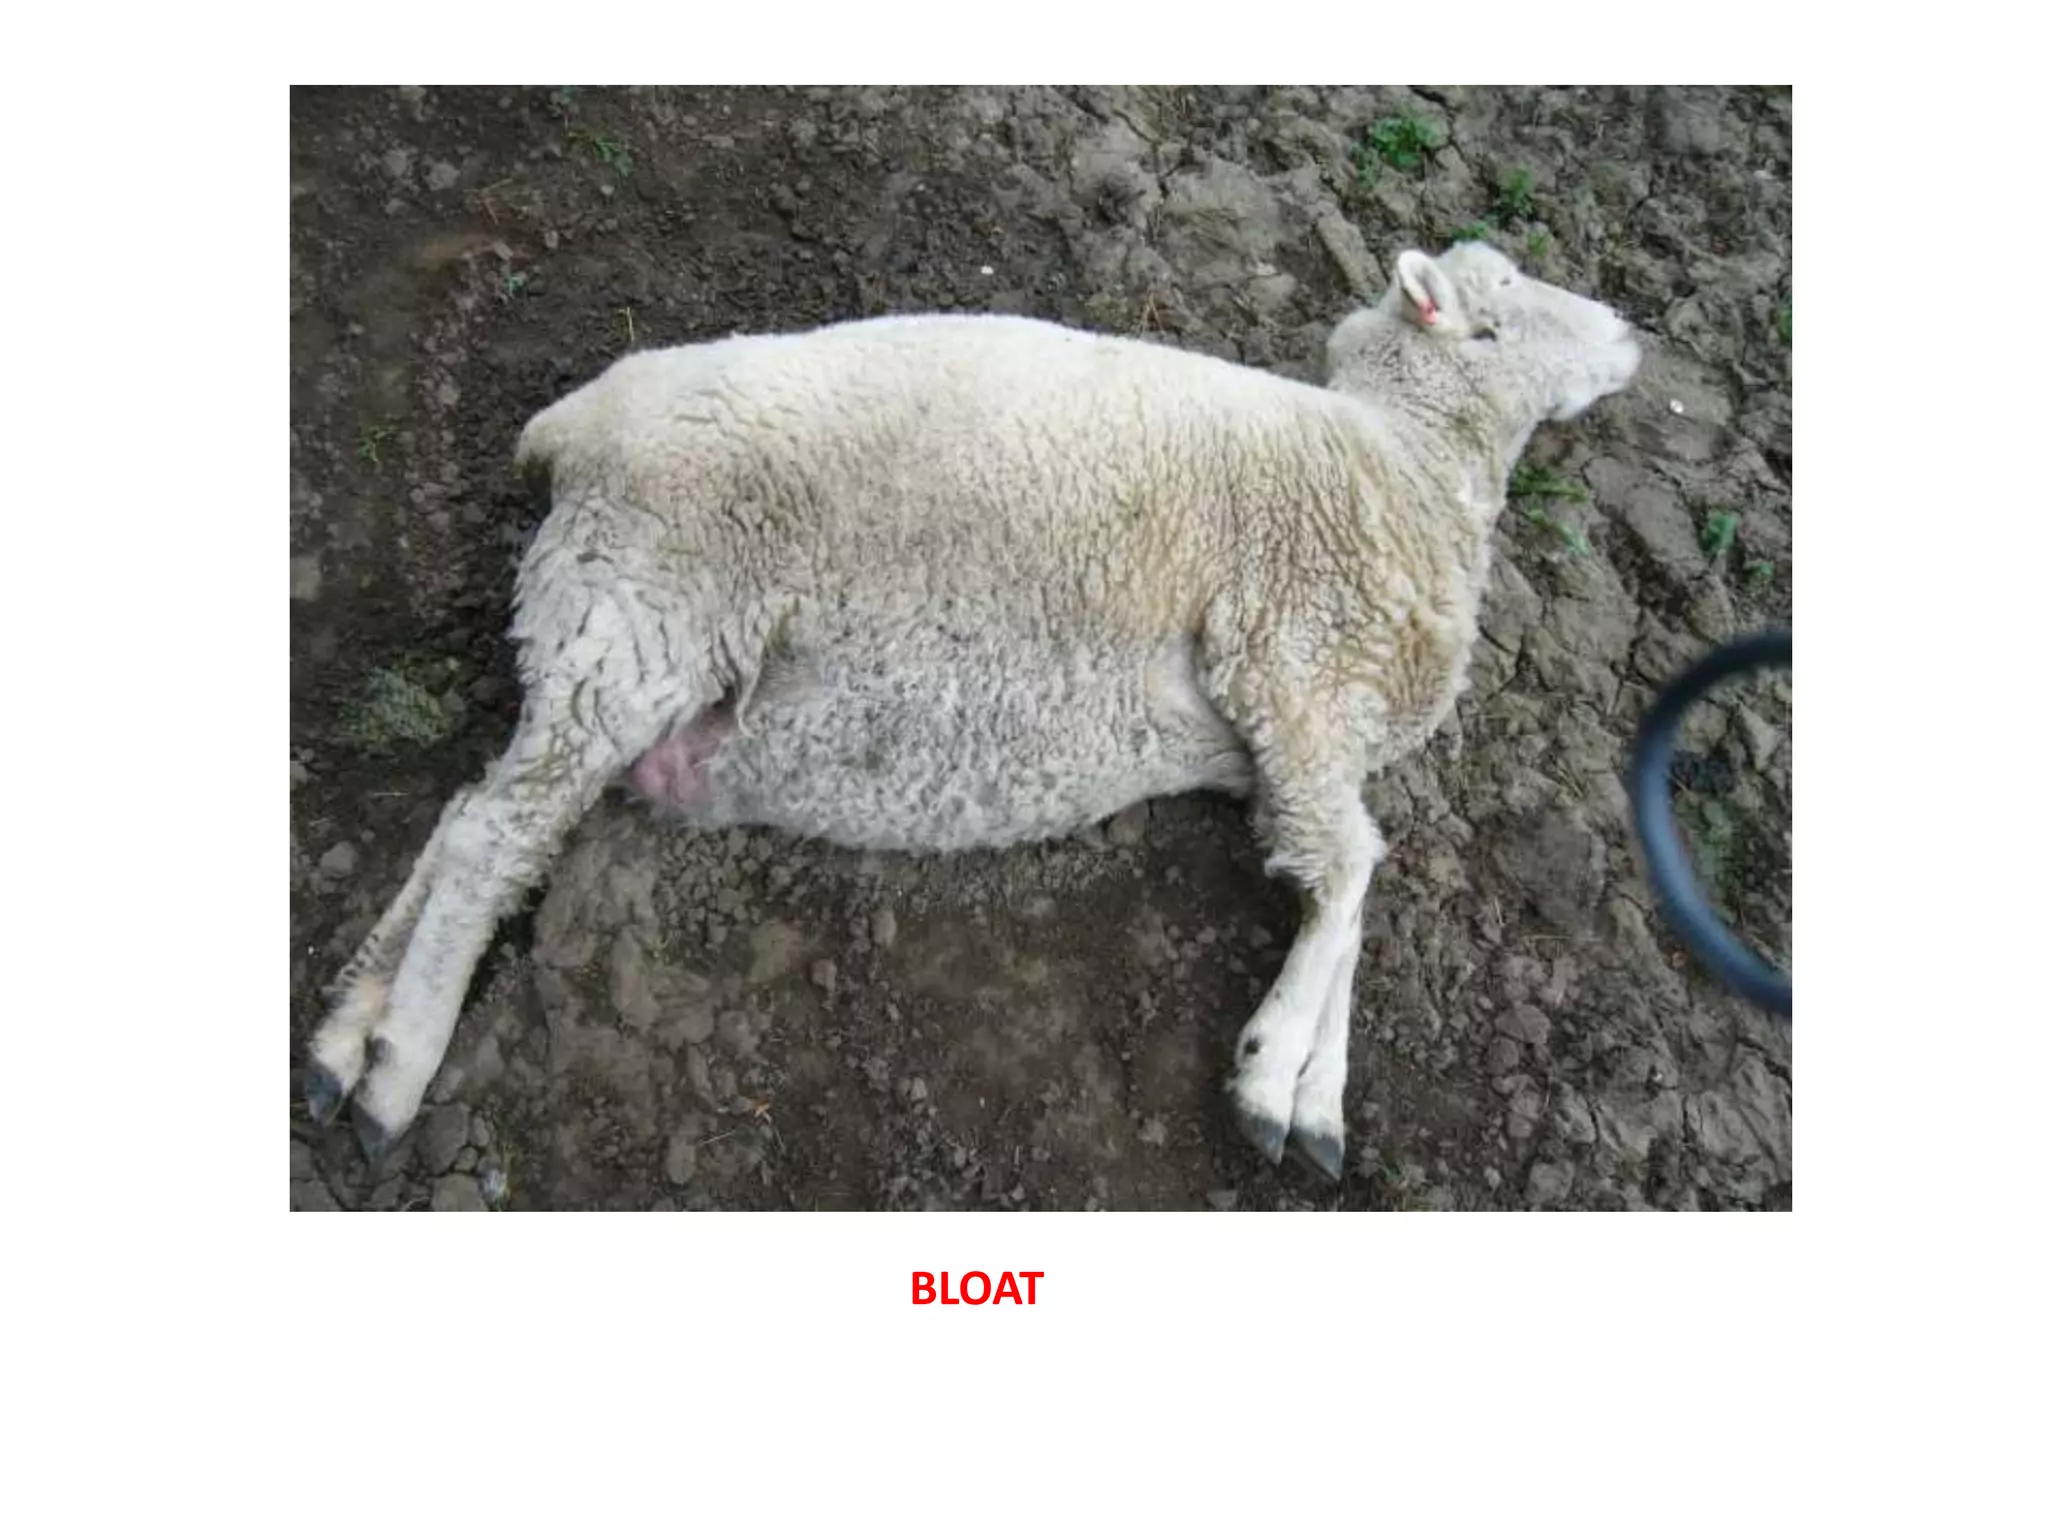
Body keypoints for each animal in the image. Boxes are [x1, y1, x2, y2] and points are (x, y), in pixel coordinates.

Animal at [304, 239, 1642, 1181]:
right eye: (1505, 297)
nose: (1634, 335)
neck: (1406, 462)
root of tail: (569, 425)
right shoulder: (1289, 661)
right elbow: (1356, 868)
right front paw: (1274, 1077)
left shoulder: (1299, 734)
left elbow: (1345, 884)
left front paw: (1315, 1090)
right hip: (648, 604)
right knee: (495, 836)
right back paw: (396, 1071)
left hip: (596, 623)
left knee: (475, 815)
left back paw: (340, 1040)